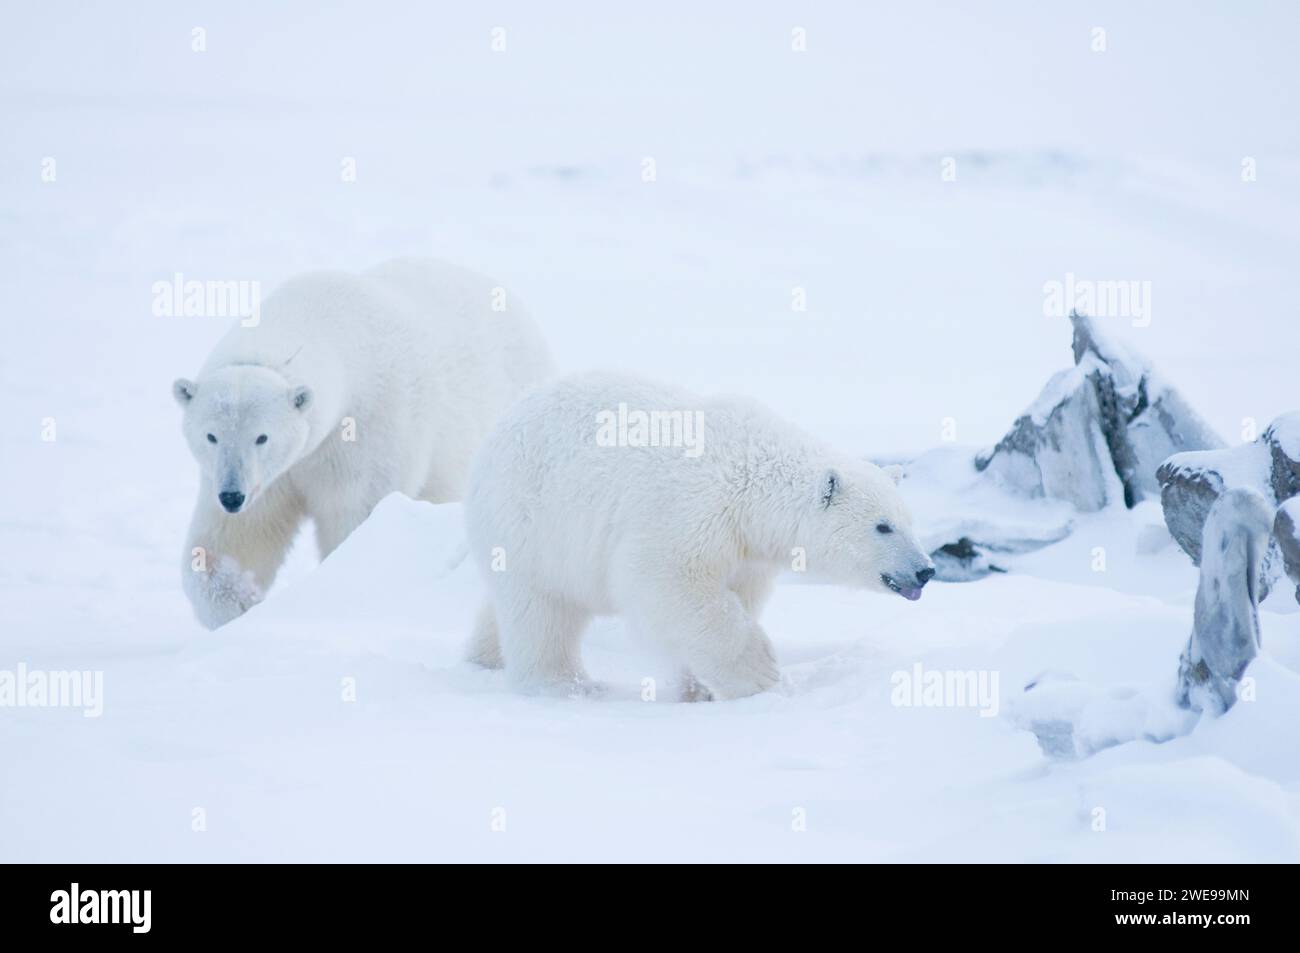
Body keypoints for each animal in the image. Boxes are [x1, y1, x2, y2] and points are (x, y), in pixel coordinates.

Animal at [173, 258, 554, 629]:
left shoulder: (366, 432)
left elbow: (358, 515)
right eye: (211, 436)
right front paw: (242, 600)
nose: (232, 496)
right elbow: (239, 535)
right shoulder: (268, 477)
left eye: (262, 436)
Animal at [464, 372, 935, 700]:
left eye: (909, 520)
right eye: (883, 525)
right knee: (542, 611)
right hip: (531, 518)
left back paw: (484, 656)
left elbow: (733, 597)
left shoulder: (748, 553)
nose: (925, 570)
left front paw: (699, 688)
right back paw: (565, 684)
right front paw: (760, 674)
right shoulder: (688, 510)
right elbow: (671, 584)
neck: (750, 478)